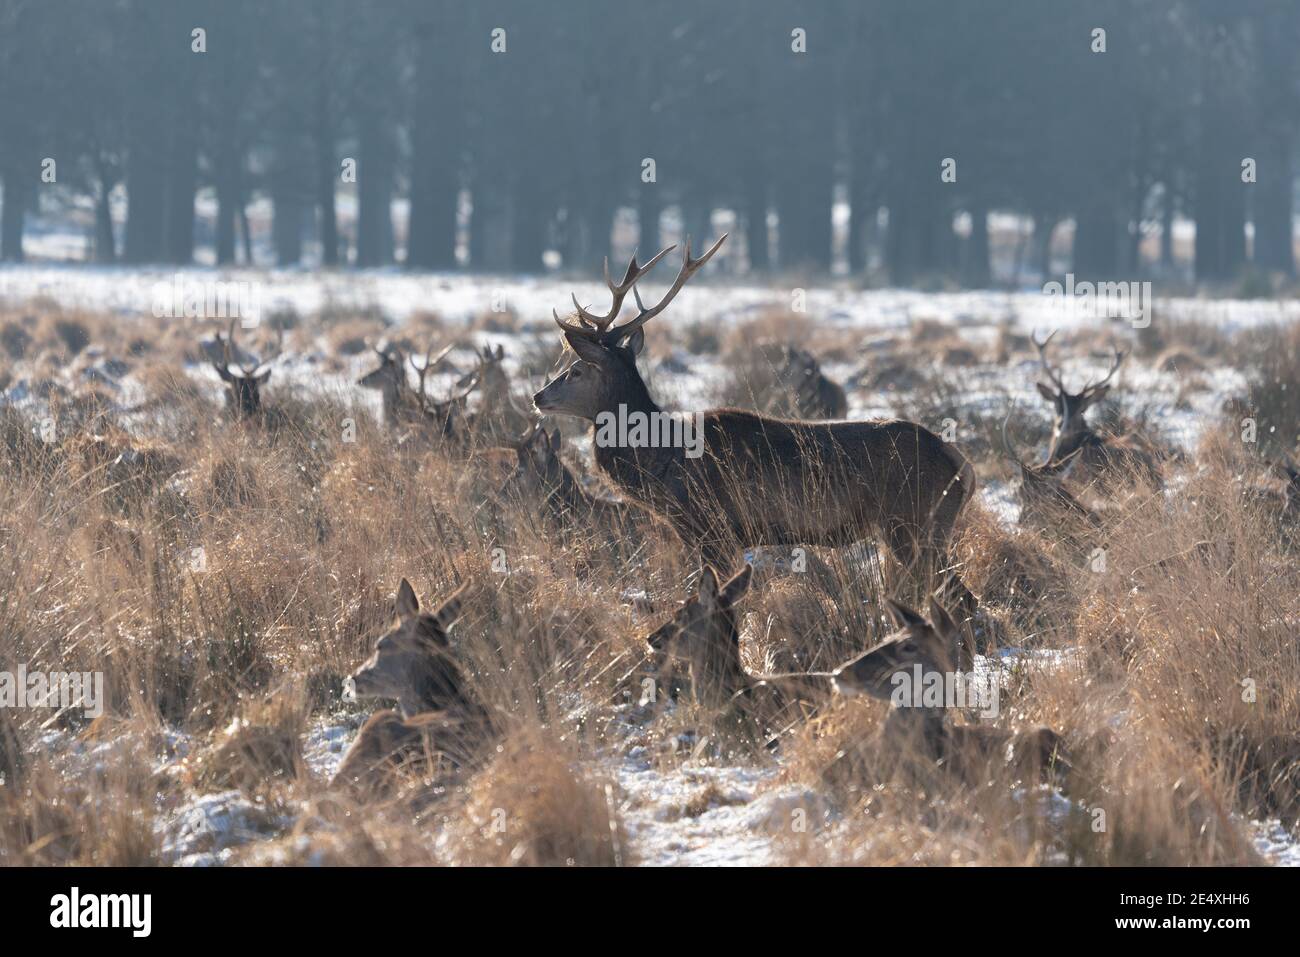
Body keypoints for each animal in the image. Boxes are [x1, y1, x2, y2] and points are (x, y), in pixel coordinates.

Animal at [532, 235, 979, 631]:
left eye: (575, 370)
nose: (538, 396)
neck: (662, 461)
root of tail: (963, 467)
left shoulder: (710, 526)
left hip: (916, 524)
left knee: (962, 597)